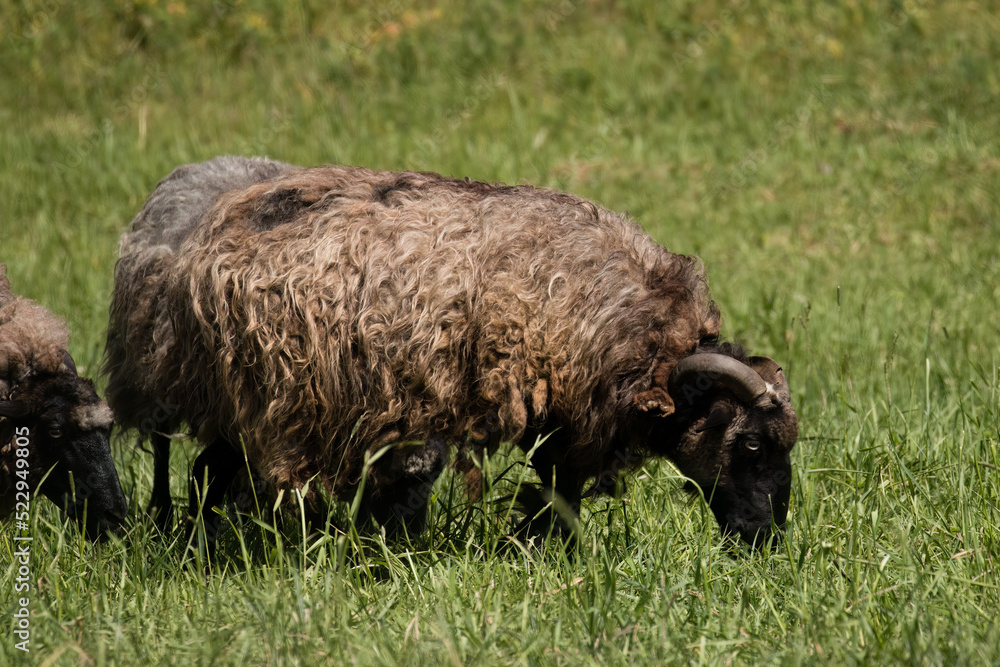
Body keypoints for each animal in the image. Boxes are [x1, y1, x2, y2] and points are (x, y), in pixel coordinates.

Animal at [104, 157, 799, 551]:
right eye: (750, 445)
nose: (766, 541)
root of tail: (204, 238)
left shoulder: (563, 410)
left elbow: (559, 488)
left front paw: (540, 547)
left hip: (233, 399)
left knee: (208, 473)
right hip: (265, 396)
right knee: (229, 475)